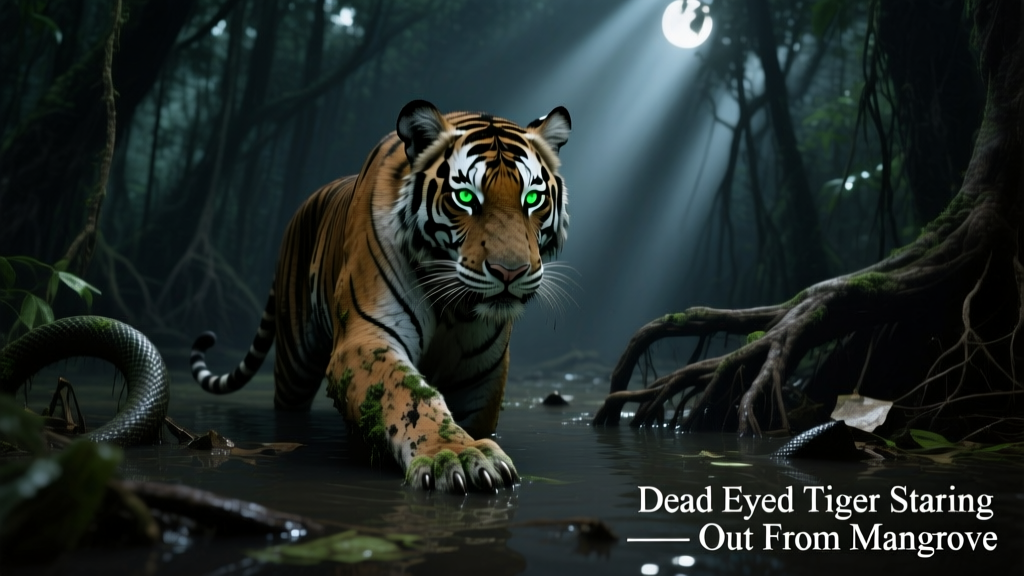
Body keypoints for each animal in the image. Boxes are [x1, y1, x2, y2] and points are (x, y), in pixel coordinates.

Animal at [190, 100, 572, 493]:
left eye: (532, 198)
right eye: (465, 197)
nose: (510, 272)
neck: (455, 308)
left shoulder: (481, 375)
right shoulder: (367, 337)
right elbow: (410, 398)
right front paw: (456, 457)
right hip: (294, 365)